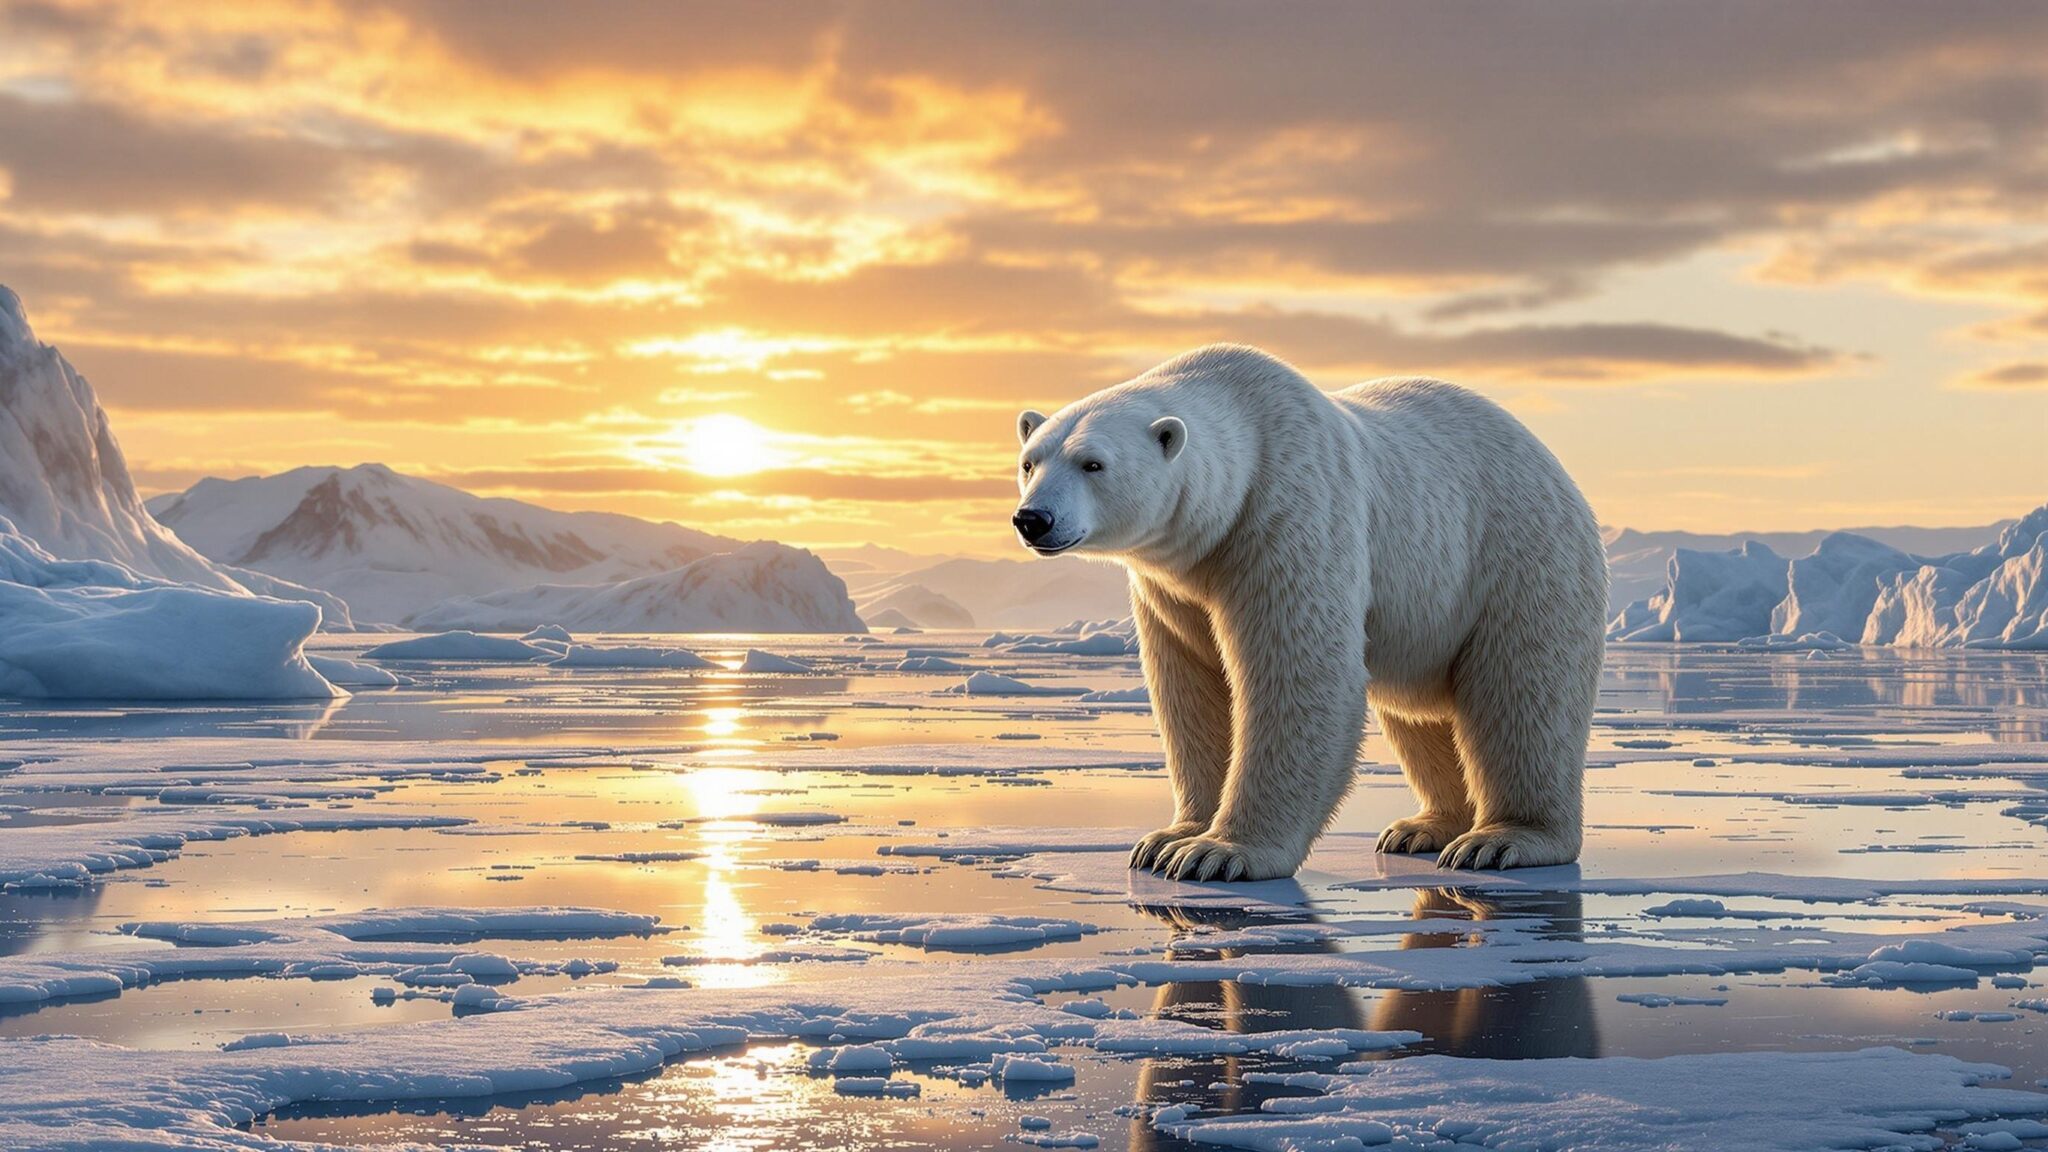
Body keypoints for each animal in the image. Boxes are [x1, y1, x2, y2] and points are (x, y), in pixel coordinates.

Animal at [1012, 345, 1607, 880]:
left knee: (1521, 694)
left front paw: (1218, 854)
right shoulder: (1172, 587)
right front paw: (1167, 841)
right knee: (1420, 714)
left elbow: (1299, 673)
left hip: (1516, 557)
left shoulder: (1287, 516)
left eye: (1093, 463)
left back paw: (1501, 839)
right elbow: (1191, 687)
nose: (1032, 518)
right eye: (1030, 462)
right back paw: (1424, 827)